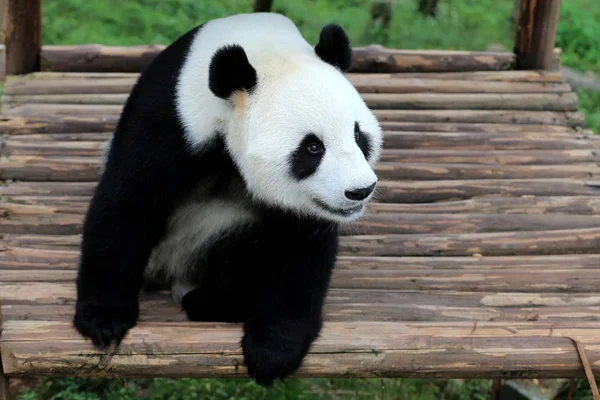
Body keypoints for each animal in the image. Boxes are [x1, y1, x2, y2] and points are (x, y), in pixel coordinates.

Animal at [74, 12, 384, 384]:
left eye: (358, 135)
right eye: (312, 147)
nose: (360, 190)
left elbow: (300, 246)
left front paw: (274, 350)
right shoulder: (172, 119)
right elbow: (128, 202)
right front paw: (103, 319)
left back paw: (213, 301)